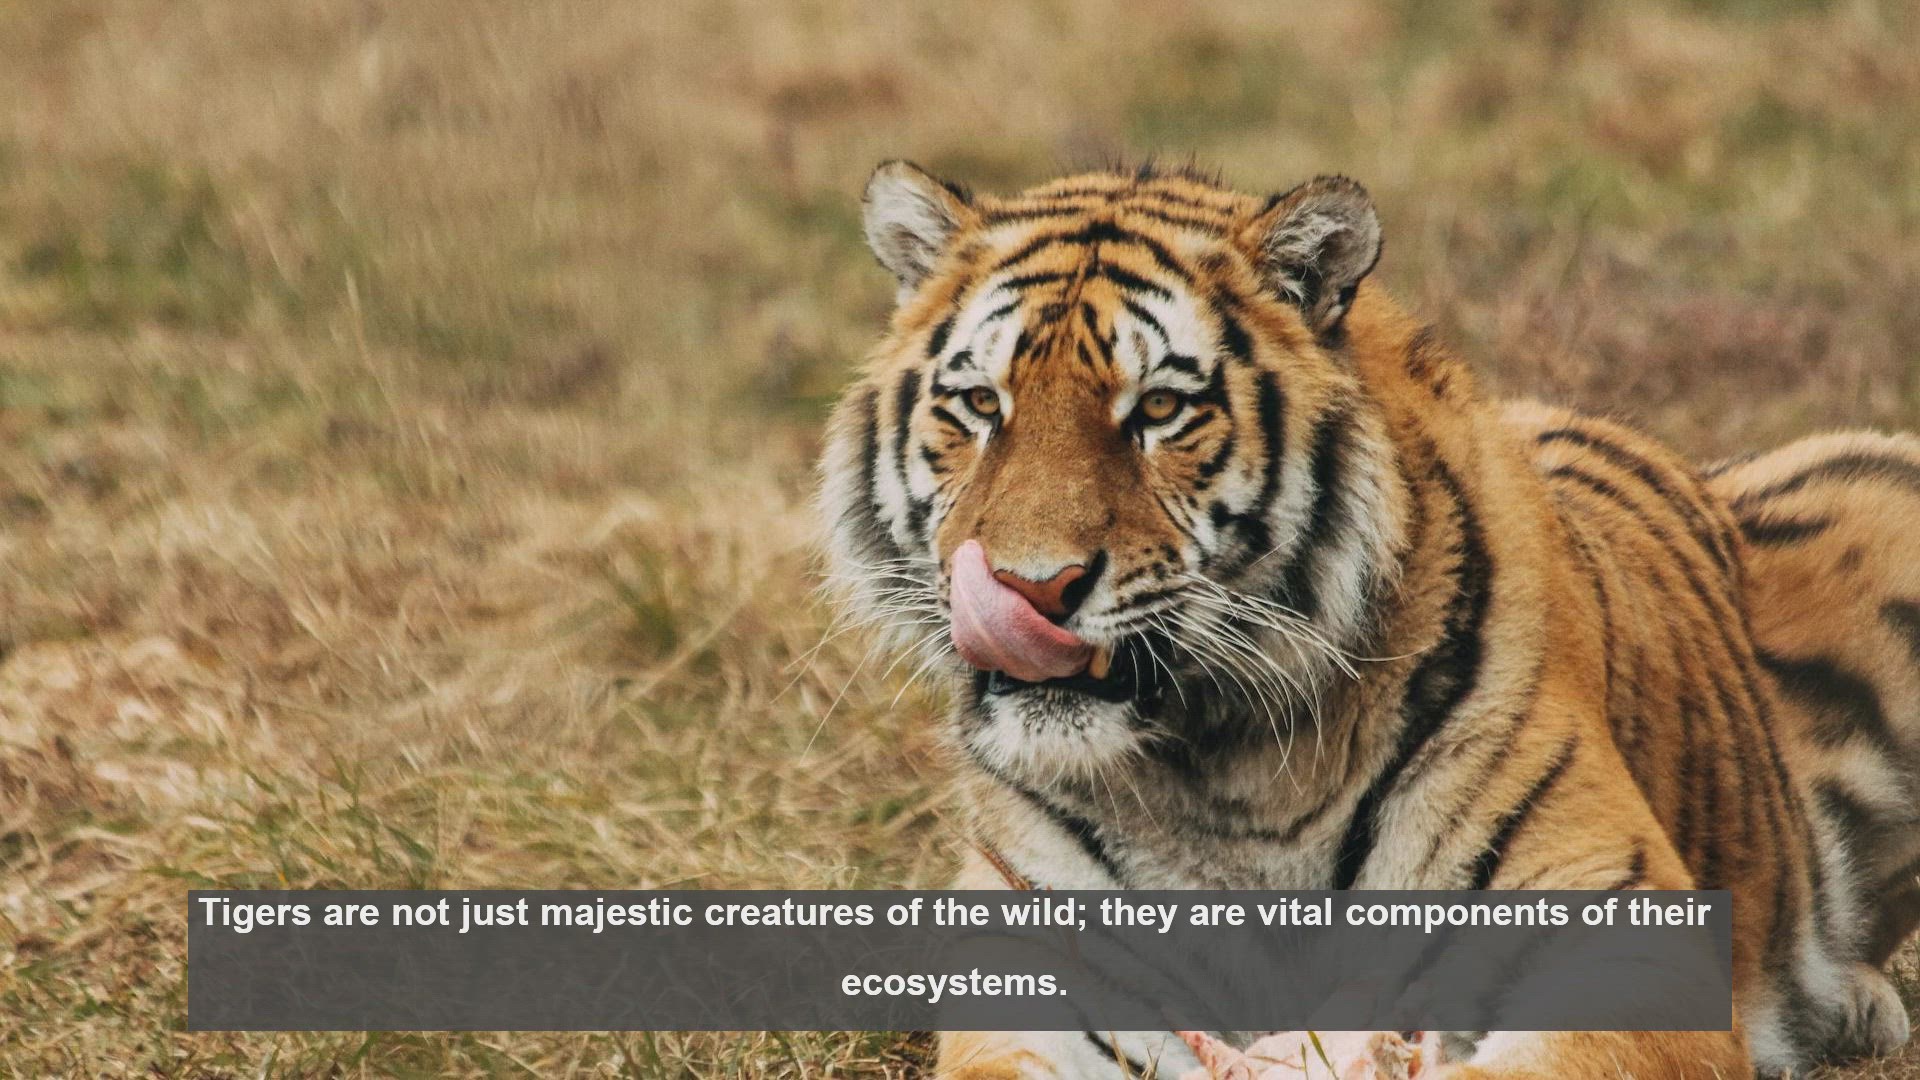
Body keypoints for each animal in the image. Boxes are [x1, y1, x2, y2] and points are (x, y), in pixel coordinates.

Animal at [816, 160, 1920, 1078]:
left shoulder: (1623, 934)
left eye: (1161, 410)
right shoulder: (1033, 974)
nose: (1030, 587)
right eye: (980, 404)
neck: (1223, 777)